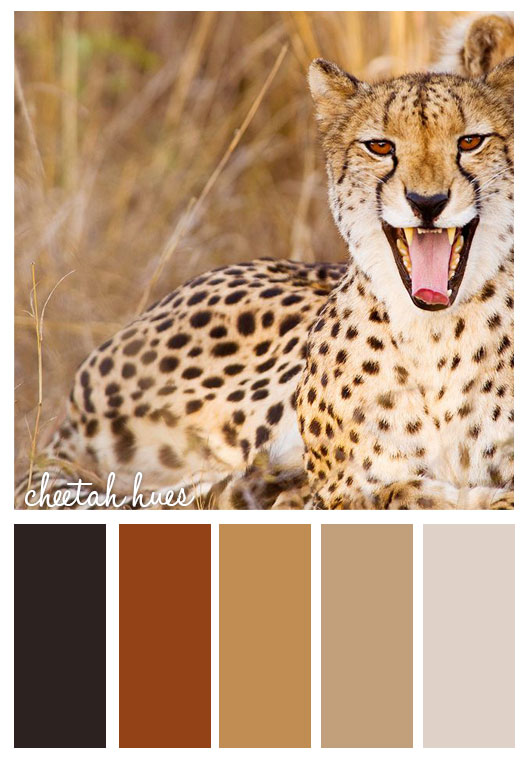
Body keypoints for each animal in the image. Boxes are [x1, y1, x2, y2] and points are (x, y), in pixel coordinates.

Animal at [16, 17, 513, 510]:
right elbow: (394, 492)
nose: (427, 202)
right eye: (380, 147)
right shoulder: (337, 487)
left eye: (470, 142)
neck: (436, 335)